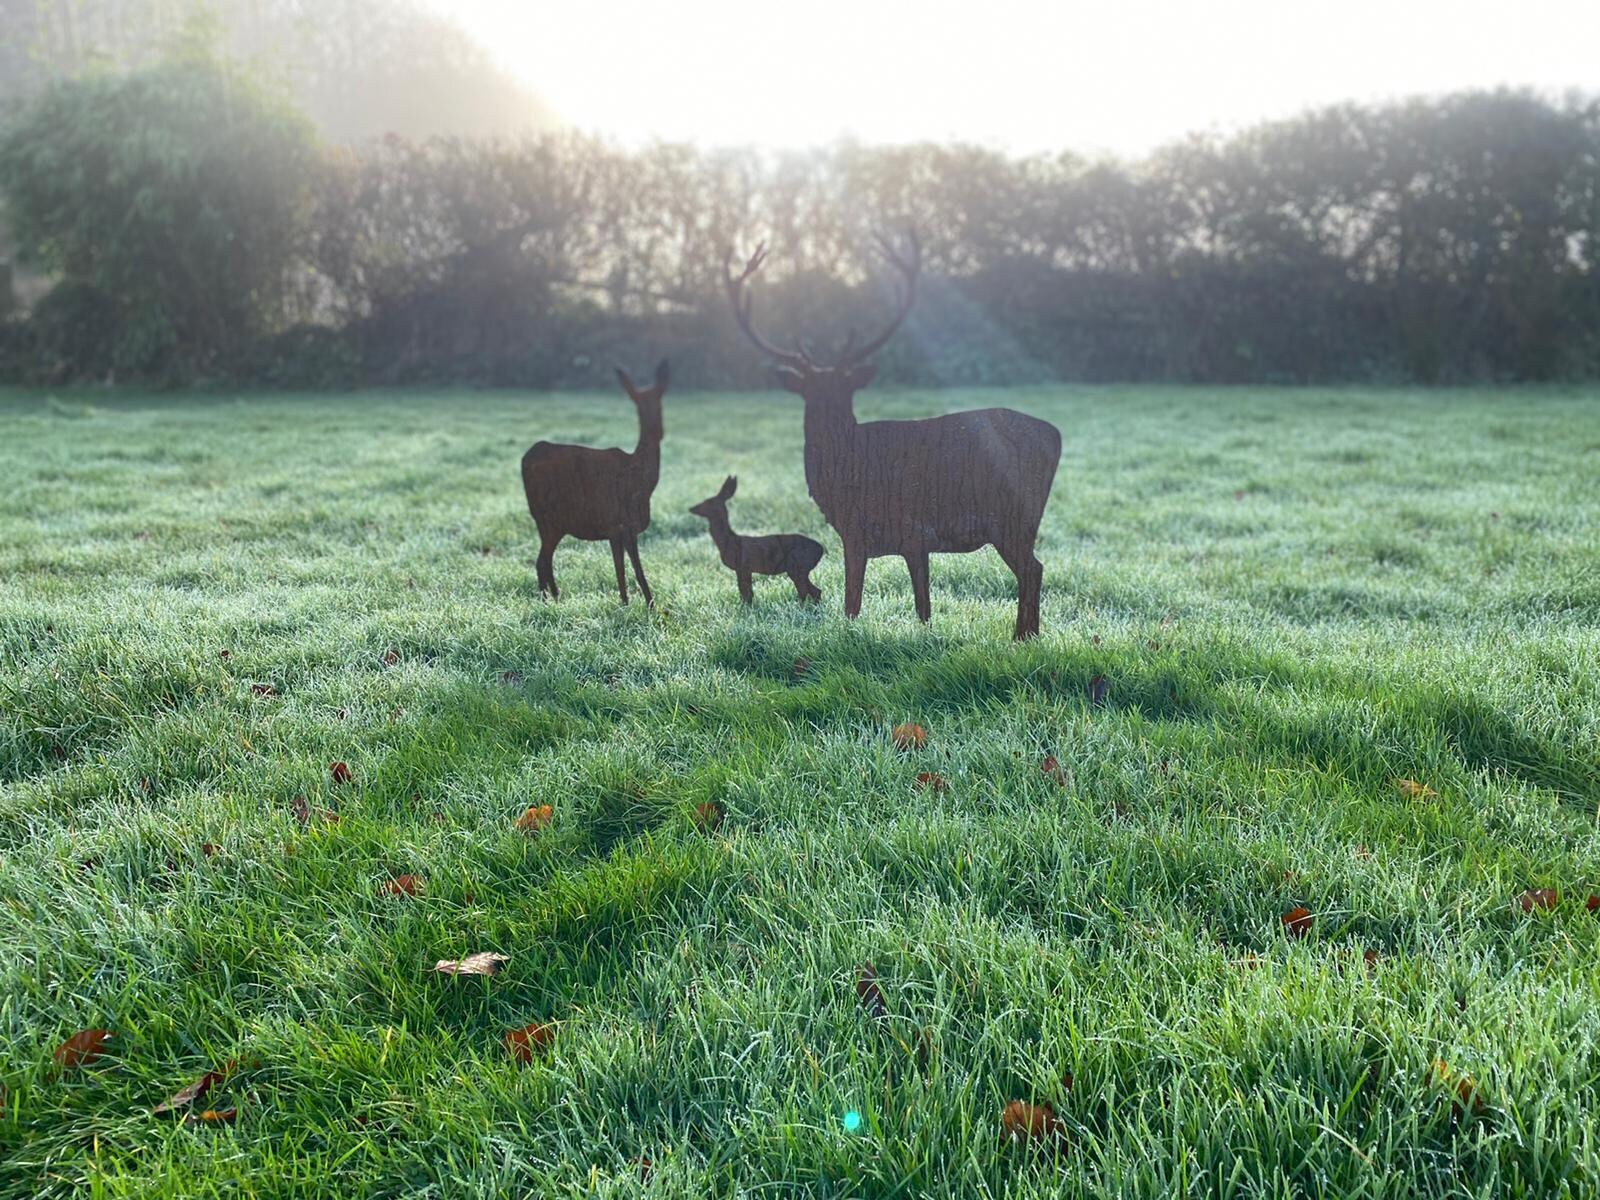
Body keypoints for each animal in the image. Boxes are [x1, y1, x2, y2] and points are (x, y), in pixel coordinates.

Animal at [520, 359, 668, 607]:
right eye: (640, 405)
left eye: (660, 402)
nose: (659, 430)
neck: (642, 483)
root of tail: (526, 457)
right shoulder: (618, 524)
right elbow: (629, 571)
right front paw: (643, 605)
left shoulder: (621, 530)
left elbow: (626, 570)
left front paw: (636, 603)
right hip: (549, 518)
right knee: (541, 561)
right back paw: (546, 601)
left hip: (549, 523)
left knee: (545, 560)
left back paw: (556, 597)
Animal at [688, 475, 825, 604]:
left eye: (707, 502)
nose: (691, 508)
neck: (728, 542)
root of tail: (821, 550)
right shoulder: (745, 569)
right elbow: (747, 591)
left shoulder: (742, 567)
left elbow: (745, 591)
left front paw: (746, 607)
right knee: (815, 591)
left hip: (797, 566)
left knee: (806, 591)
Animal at [725, 233, 1060, 639]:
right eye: (811, 391)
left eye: (842, 389)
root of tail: (1056, 435)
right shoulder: (902, 539)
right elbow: (919, 605)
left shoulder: (877, 531)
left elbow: (856, 603)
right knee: (1034, 568)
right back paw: (1027, 635)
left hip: (1013, 517)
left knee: (1032, 569)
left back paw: (1021, 637)